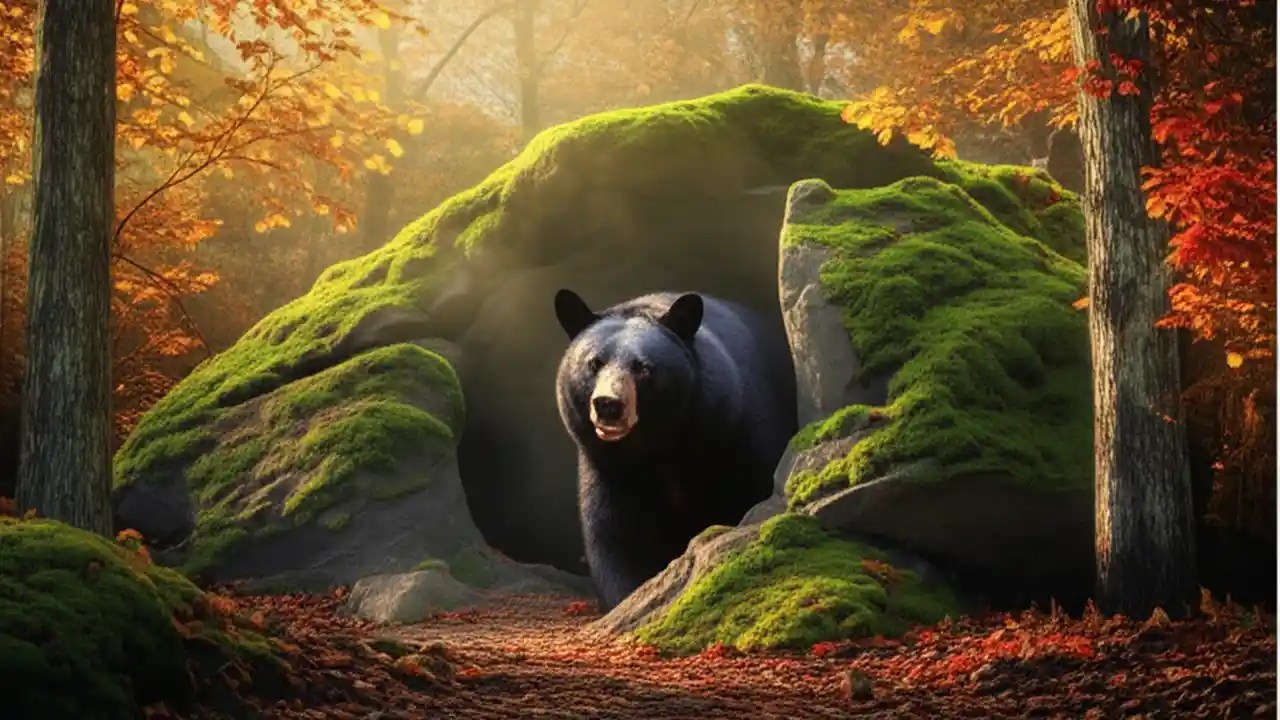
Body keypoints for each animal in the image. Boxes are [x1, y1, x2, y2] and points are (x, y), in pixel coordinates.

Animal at [553, 289, 797, 609]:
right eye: (594, 363)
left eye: (642, 367)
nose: (608, 405)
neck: (661, 450)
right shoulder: (609, 469)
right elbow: (614, 541)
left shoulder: (739, 433)